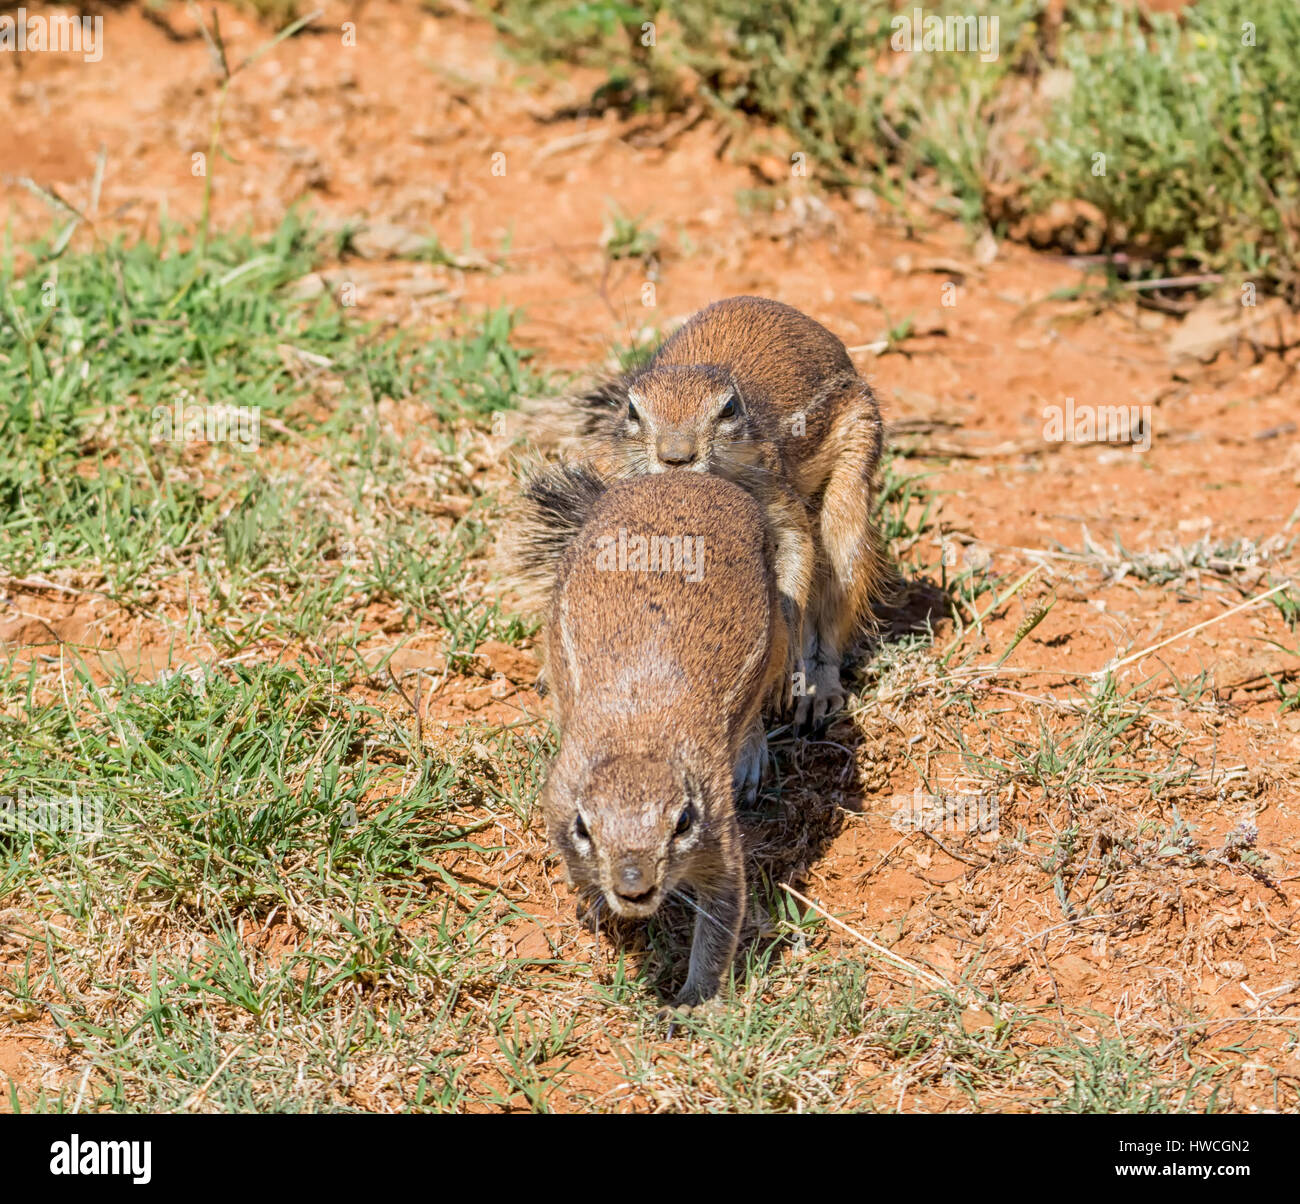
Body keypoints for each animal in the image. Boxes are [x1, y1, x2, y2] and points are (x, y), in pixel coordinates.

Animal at [520, 464, 786, 1009]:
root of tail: (685, 479)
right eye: (584, 827)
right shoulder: (559, 796)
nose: (633, 887)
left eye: (682, 822)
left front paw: (691, 1002)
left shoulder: (719, 838)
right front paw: (594, 904)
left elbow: (722, 920)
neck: (639, 739)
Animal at [575, 295, 887, 728]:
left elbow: (796, 552)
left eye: (728, 409)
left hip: (853, 480)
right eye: (632, 411)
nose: (675, 457)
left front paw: (782, 668)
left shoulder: (771, 488)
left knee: (834, 595)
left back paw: (817, 690)